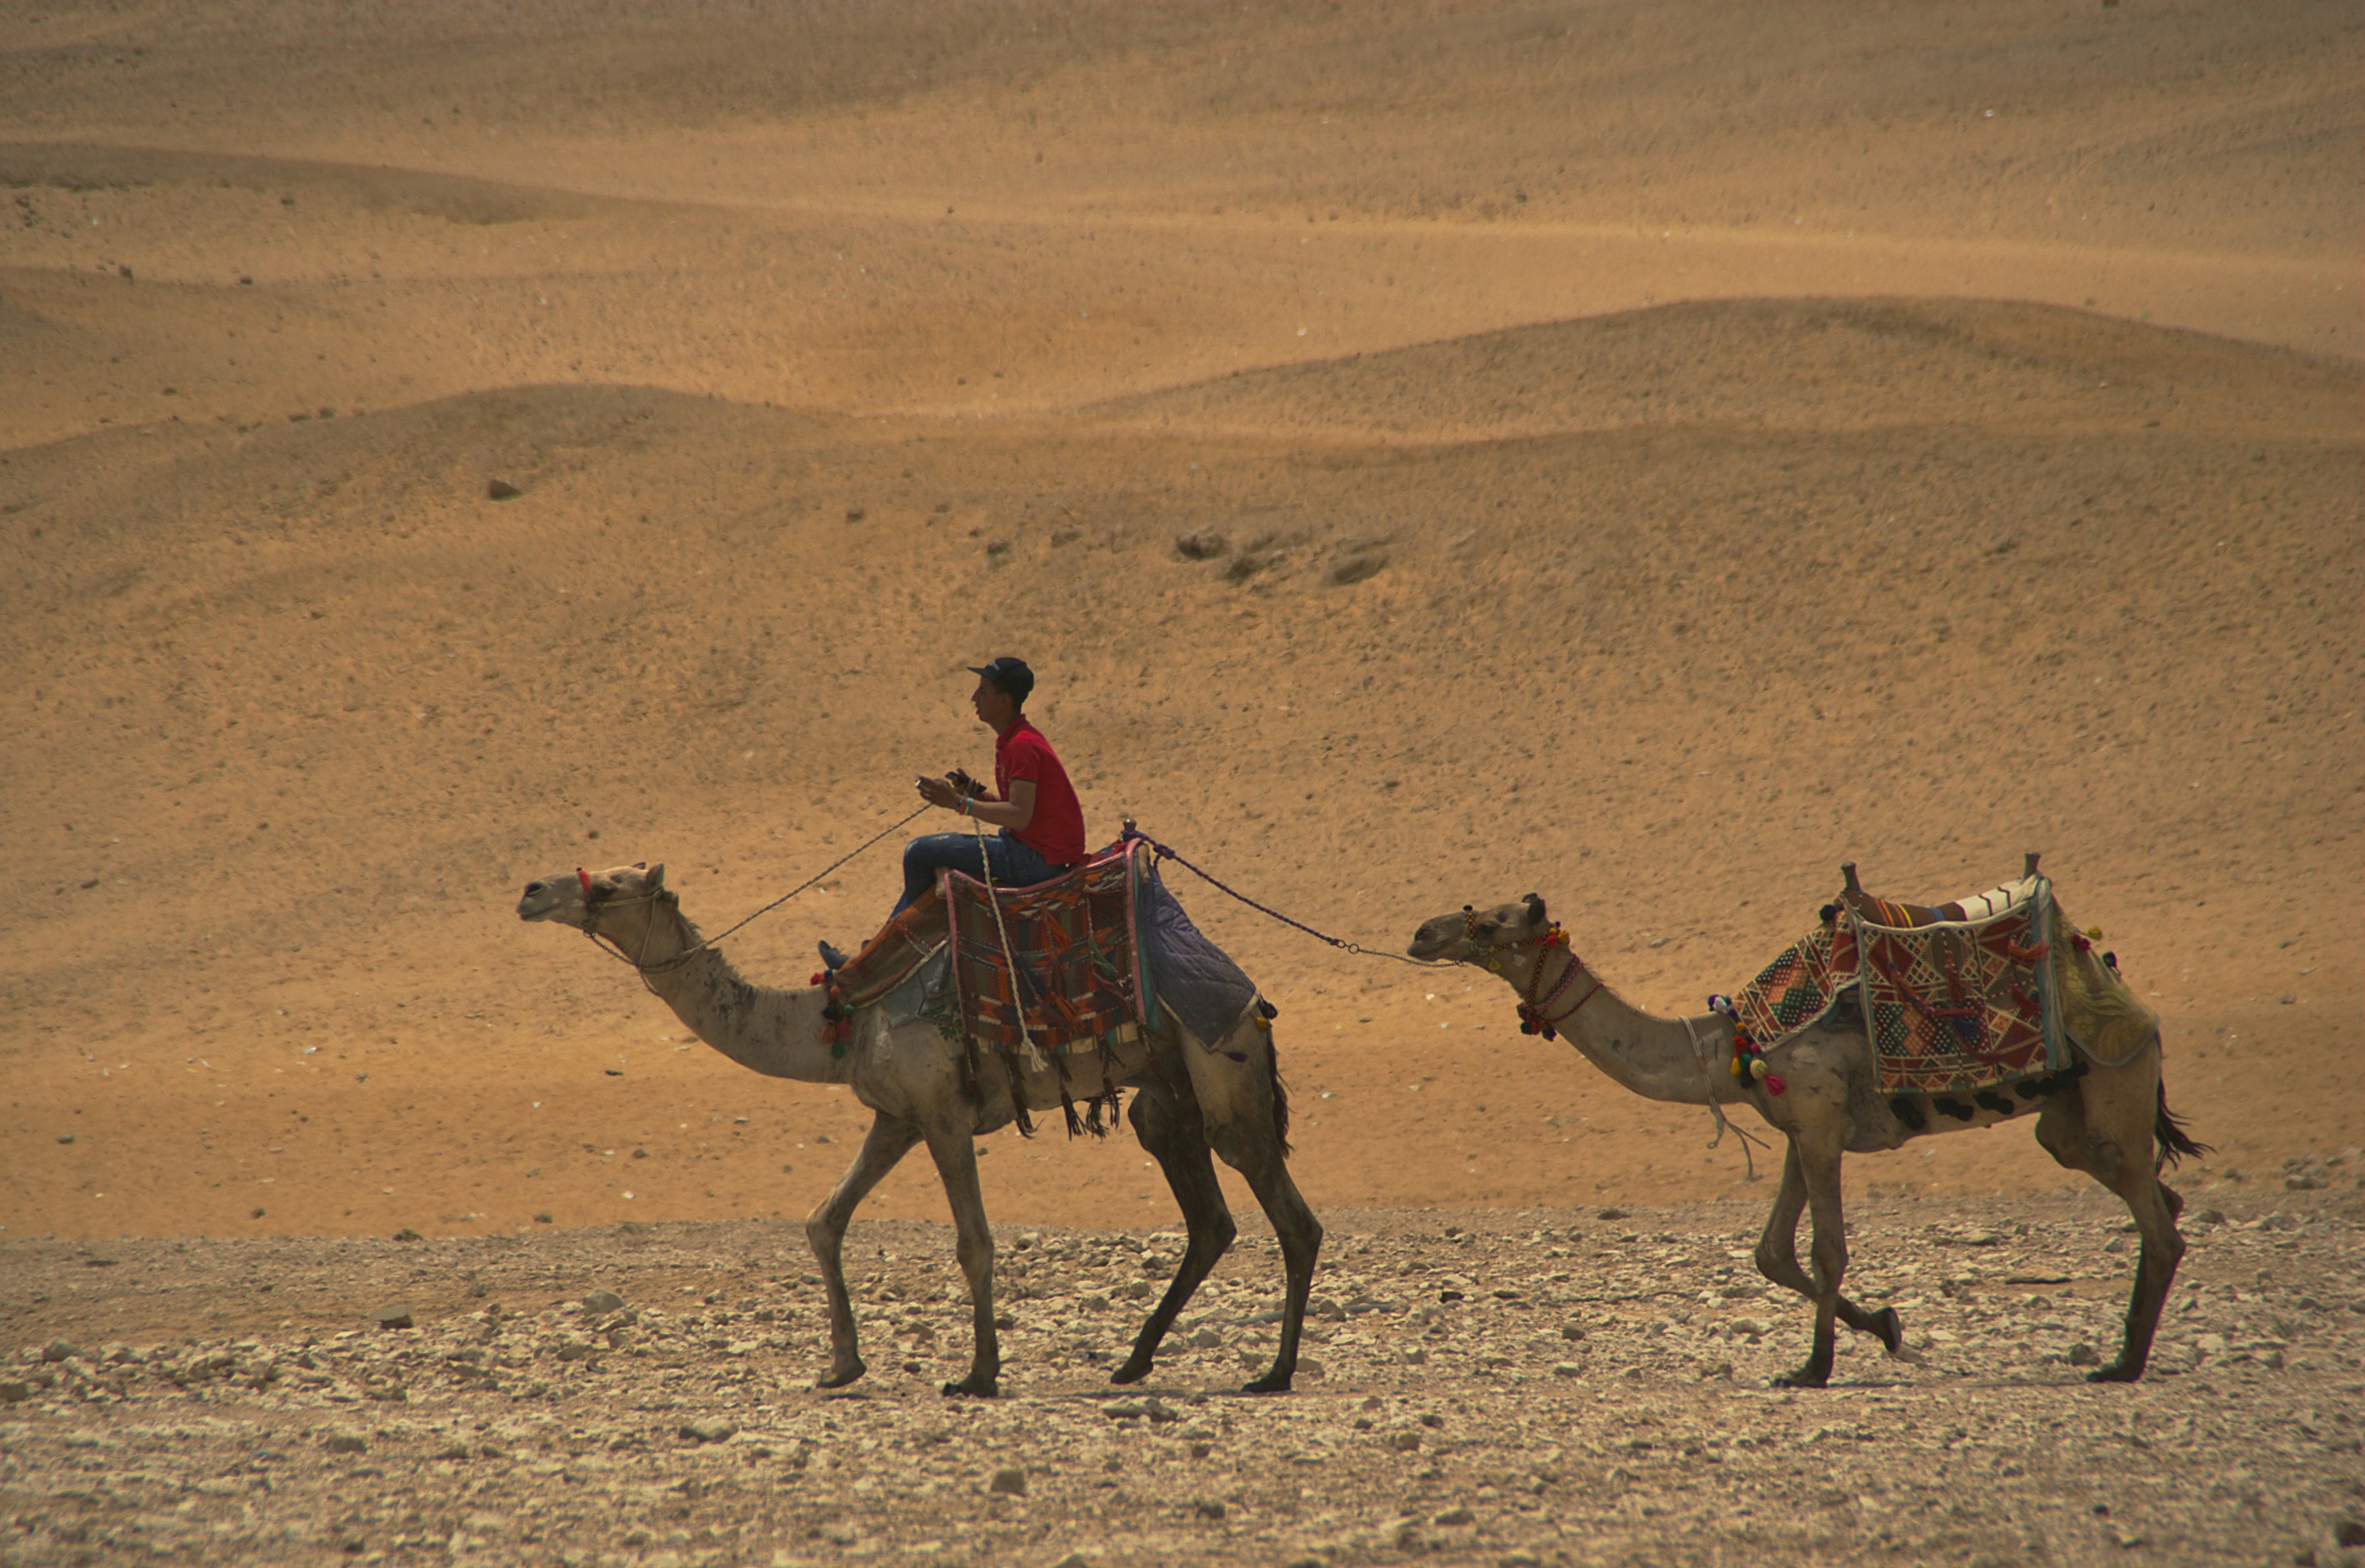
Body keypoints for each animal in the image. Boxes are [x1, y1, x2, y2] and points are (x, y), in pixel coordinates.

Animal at [516, 860, 1322, 1399]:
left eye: (608, 884)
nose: (531, 891)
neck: (840, 1018)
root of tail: (1255, 997)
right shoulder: (895, 1115)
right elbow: (824, 1219)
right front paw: (841, 1364)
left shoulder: (940, 1111)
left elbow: (974, 1241)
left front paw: (978, 1373)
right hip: (1165, 1092)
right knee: (1209, 1216)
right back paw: (1133, 1361)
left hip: (1221, 1070)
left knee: (1290, 1215)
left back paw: (1273, 1371)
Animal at [1407, 869, 2202, 1389]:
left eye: (1489, 922)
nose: (1420, 931)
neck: (1729, 1046)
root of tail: (2134, 1001)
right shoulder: (1796, 1127)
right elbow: (1771, 1253)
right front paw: (1885, 1326)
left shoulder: (1820, 1122)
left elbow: (1825, 1248)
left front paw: (1814, 1367)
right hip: (2068, 1120)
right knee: (2156, 1199)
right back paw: (2127, 1347)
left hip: (2115, 1080)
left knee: (2158, 1221)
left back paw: (2121, 1364)